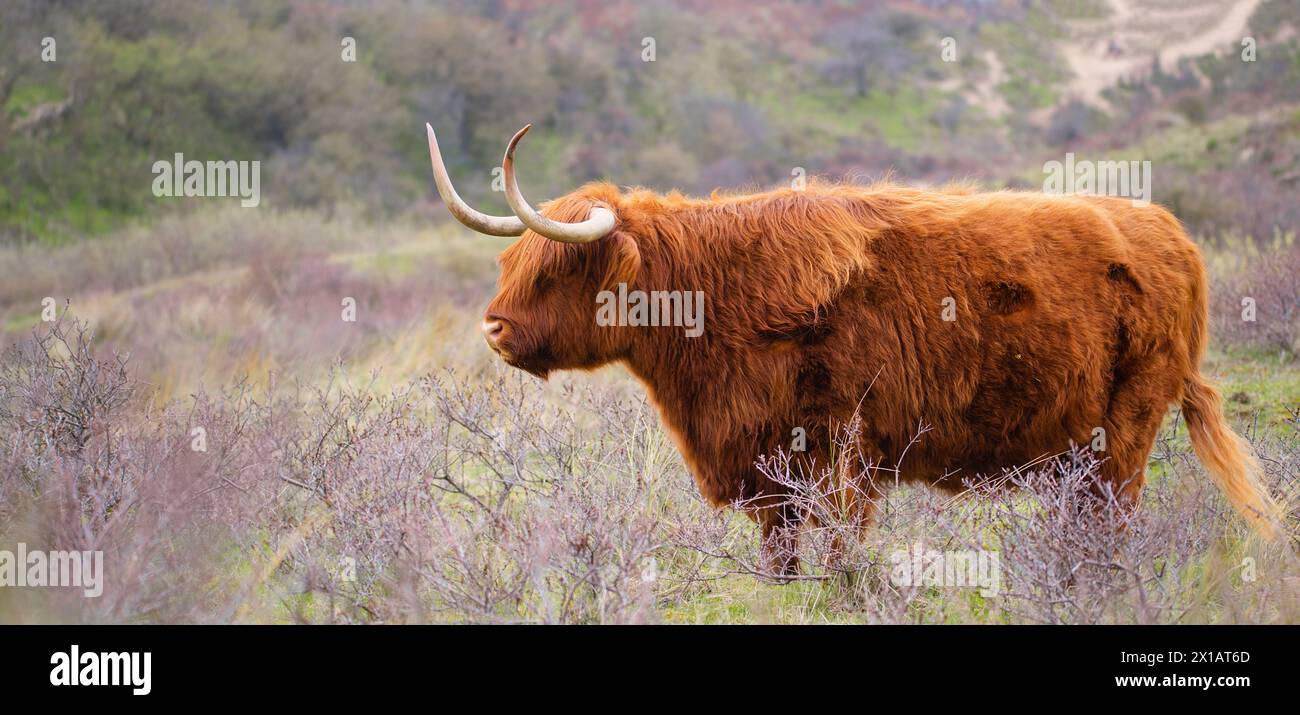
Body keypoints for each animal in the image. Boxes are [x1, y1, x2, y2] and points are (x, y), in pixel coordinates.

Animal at [426, 123, 1282, 575]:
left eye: (557, 267)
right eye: (509, 263)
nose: (492, 328)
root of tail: (1168, 232)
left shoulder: (846, 446)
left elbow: (838, 545)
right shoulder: (765, 457)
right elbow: (781, 548)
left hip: (1127, 428)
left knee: (1113, 519)